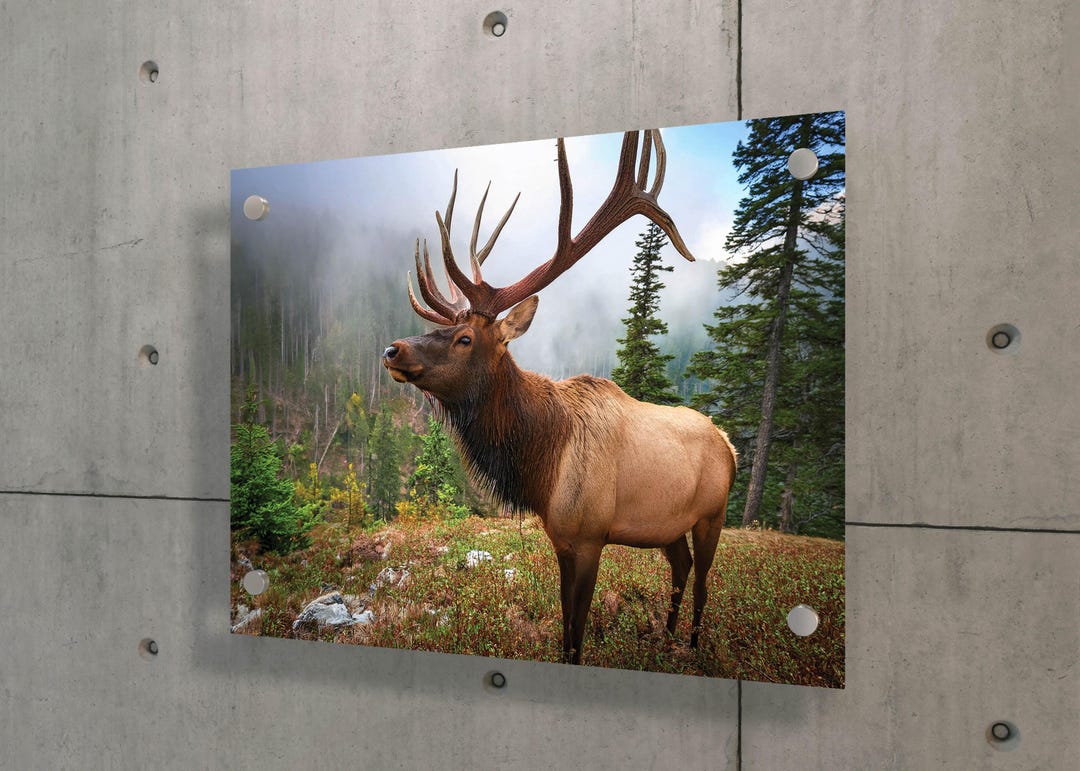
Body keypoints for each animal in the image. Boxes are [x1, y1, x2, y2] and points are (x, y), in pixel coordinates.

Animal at [382, 130, 737, 665]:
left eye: (465, 338)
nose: (392, 349)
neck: (542, 463)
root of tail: (730, 443)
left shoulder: (591, 537)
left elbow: (578, 632)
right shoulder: (561, 539)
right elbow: (565, 625)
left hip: (712, 515)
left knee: (703, 580)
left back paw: (692, 644)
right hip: (668, 526)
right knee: (682, 567)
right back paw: (667, 635)